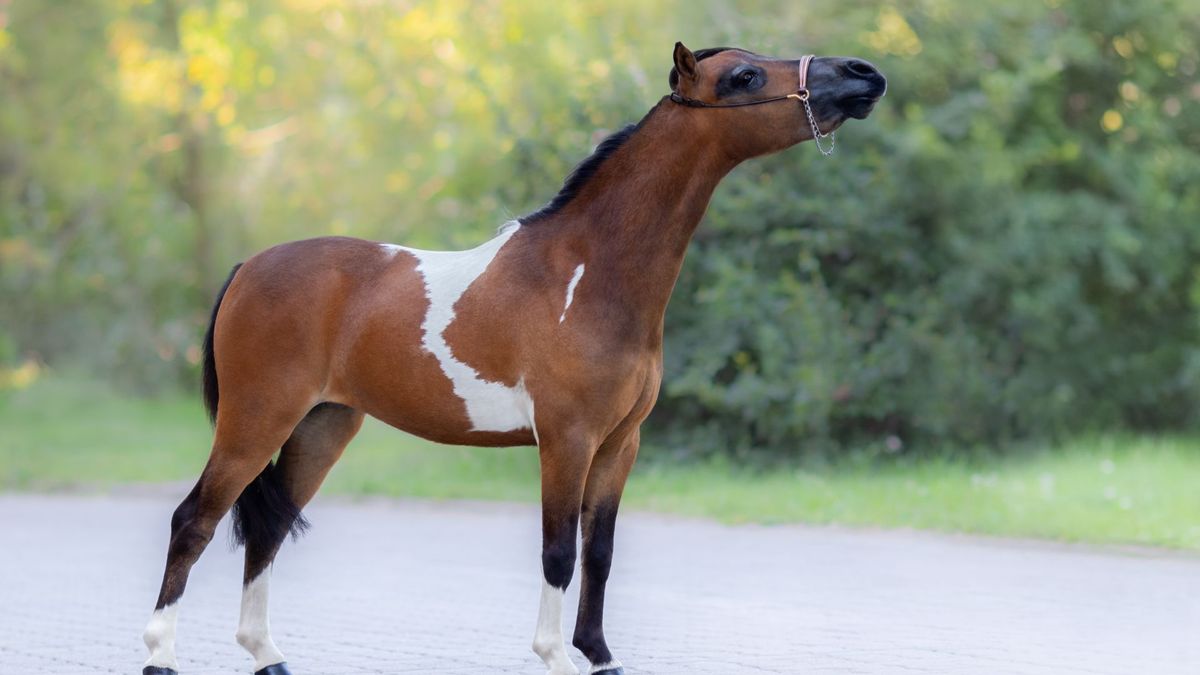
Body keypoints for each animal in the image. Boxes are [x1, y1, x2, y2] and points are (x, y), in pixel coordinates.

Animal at [142, 42, 886, 675]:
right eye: (744, 77)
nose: (862, 74)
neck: (585, 275)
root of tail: (248, 267)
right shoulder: (566, 439)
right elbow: (558, 551)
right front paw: (556, 655)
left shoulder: (620, 443)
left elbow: (600, 551)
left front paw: (600, 654)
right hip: (255, 419)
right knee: (194, 521)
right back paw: (160, 655)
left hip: (320, 427)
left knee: (266, 526)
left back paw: (268, 654)